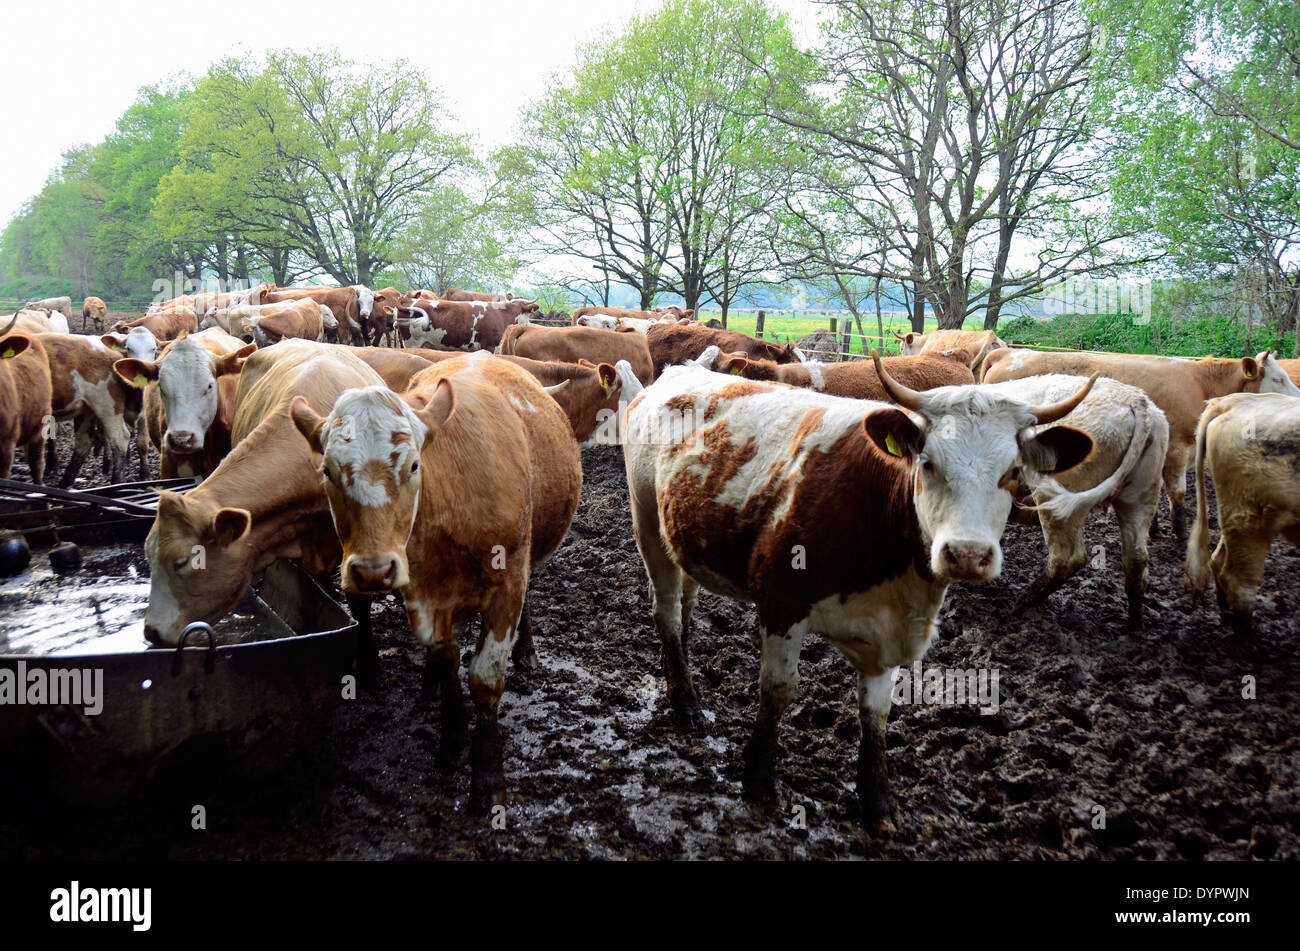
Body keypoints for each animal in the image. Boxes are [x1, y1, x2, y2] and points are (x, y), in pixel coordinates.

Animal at [289, 351, 583, 813]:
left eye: (413, 465)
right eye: (328, 472)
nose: (373, 570)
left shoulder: (506, 590)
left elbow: (484, 678)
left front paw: (486, 778)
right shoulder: (428, 599)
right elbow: (446, 661)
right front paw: (451, 739)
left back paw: (527, 652)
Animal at [622, 352, 1097, 826]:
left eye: (1014, 472)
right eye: (927, 463)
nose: (966, 554)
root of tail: (678, 372)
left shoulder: (890, 631)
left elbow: (876, 713)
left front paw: (877, 798)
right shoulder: (781, 603)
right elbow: (778, 690)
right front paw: (758, 780)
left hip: (683, 538)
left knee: (685, 604)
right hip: (648, 524)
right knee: (666, 611)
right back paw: (685, 703)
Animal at [982, 348, 1295, 539]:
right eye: (1278, 378)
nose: (1296, 398)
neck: (1200, 384)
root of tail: (1008, 351)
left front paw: (1154, 528)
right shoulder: (1177, 448)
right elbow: (1178, 492)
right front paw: (1180, 532)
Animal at [1185, 392, 1300, 644]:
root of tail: (1229, 402)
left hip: (1233, 513)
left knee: (1217, 559)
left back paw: (1227, 618)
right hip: (1250, 520)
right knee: (1239, 579)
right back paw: (1249, 641)